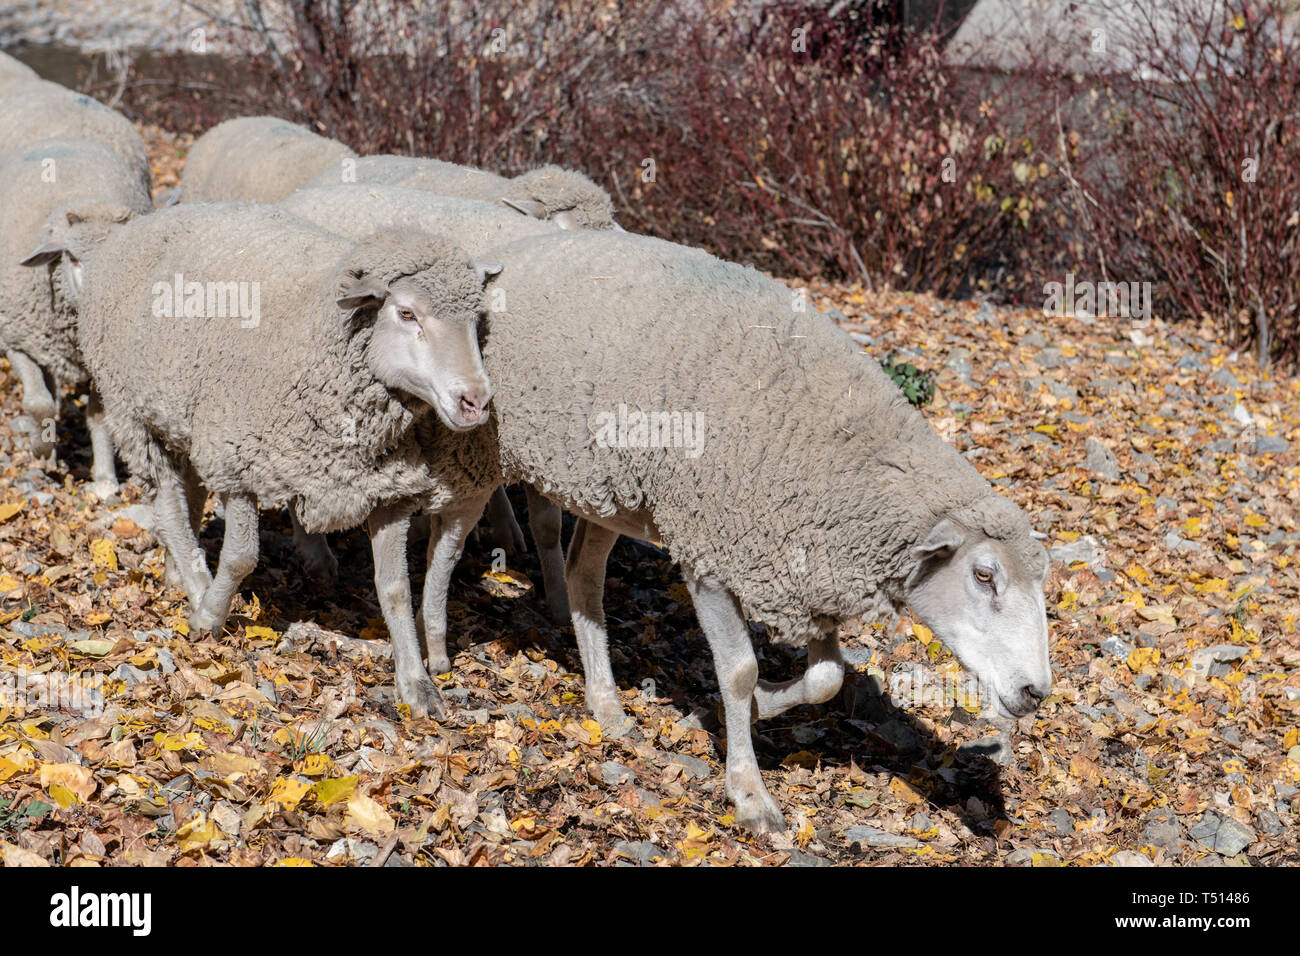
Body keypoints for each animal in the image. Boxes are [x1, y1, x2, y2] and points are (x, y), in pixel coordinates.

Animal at [2, 135, 152, 491]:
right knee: (49, 397)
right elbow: (38, 403)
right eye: (71, 257)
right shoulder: (18, 342)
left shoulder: (103, 364)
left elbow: (100, 417)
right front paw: (40, 451)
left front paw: (106, 479)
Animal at [74, 202, 503, 716]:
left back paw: (180, 571)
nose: (475, 401)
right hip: (133, 409)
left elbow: (396, 590)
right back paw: (196, 584)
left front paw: (417, 685)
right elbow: (242, 557)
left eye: (477, 319)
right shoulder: (236, 458)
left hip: (180, 414)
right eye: (406, 312)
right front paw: (209, 618)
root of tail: (145, 221)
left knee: (186, 492)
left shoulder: (388, 490)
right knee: (168, 508)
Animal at [434, 229, 1052, 832]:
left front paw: (756, 708)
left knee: (583, 575)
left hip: (610, 491)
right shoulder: (711, 553)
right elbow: (738, 671)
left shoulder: (811, 570)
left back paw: (605, 704)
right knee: (457, 541)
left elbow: (827, 677)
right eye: (984, 575)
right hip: (482, 450)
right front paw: (750, 791)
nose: (1035, 693)